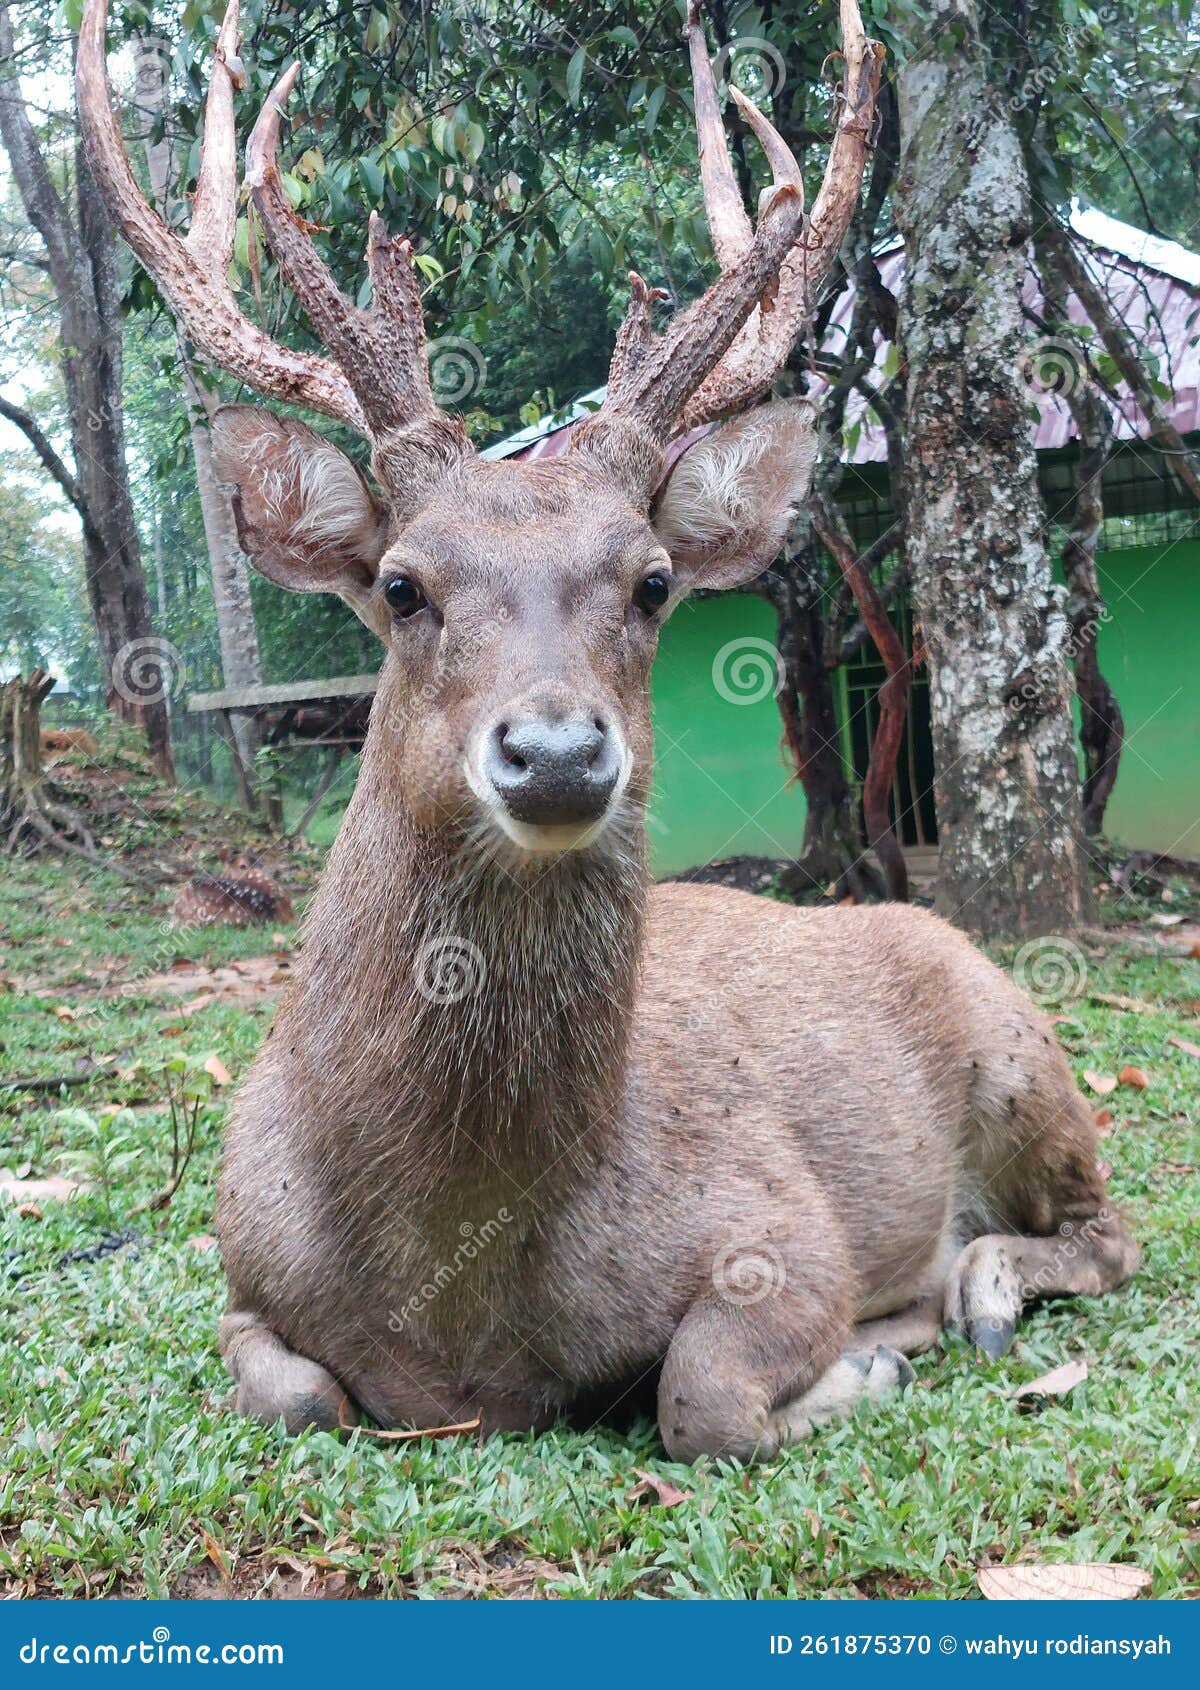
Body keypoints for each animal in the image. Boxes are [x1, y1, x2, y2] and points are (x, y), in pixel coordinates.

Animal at [79, 0, 1138, 1461]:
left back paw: (967, 1293)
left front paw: (862, 1360)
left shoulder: (783, 1223)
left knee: (1114, 1231)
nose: (559, 753)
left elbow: (704, 1397)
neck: (458, 1308)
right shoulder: (238, 1267)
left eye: (650, 581)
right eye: (401, 584)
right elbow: (294, 1393)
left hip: (1025, 1053)